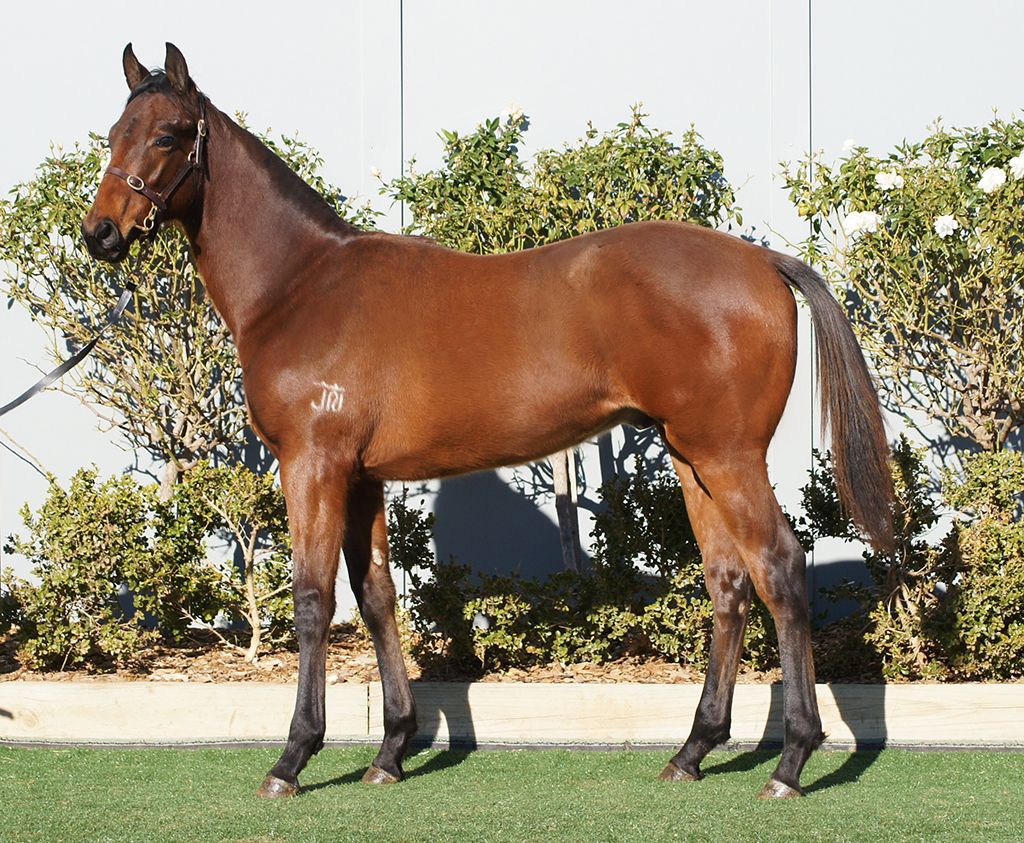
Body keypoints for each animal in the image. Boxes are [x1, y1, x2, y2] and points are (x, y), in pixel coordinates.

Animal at [83, 43, 893, 800]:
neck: (302, 284)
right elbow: (378, 598)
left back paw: (790, 762)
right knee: (729, 582)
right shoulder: (362, 477)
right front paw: (390, 752)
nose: (100, 234)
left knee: (780, 569)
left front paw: (293, 758)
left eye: (168, 134)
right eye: (115, 133)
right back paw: (692, 752)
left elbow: (314, 599)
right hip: (694, 459)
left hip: (728, 455)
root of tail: (762, 262)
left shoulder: (312, 464)